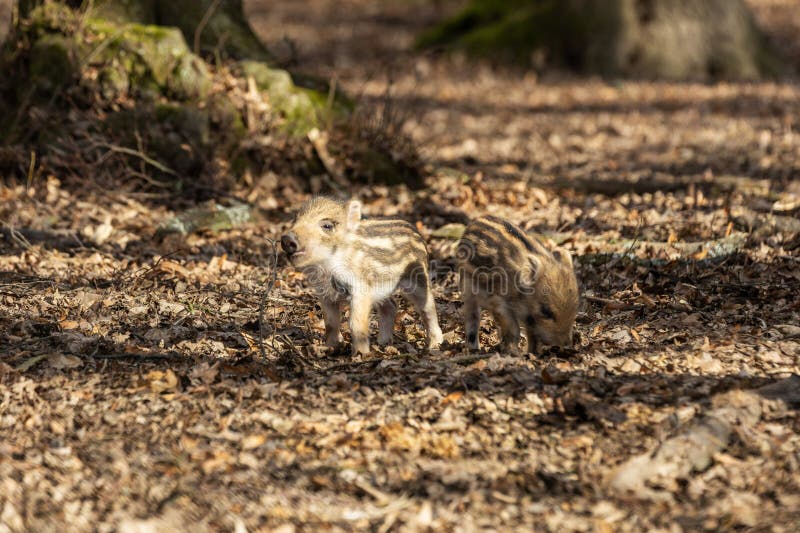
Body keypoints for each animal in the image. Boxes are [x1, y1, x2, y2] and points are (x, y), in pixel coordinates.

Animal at [281, 197, 443, 355]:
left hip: (417, 280)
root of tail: (417, 233)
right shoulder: (325, 294)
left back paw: (435, 345)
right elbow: (331, 323)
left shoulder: (361, 288)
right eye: (295, 219)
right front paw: (331, 348)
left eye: (327, 226)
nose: (287, 239)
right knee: (391, 305)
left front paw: (360, 355)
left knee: (428, 308)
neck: (329, 264)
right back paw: (382, 343)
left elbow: (356, 324)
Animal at [457, 215, 578, 354]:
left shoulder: (529, 318)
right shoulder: (499, 303)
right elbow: (513, 328)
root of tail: (476, 221)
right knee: (472, 320)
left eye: (575, 308)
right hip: (467, 291)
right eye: (546, 311)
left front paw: (531, 353)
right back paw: (474, 349)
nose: (566, 344)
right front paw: (513, 352)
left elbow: (532, 334)